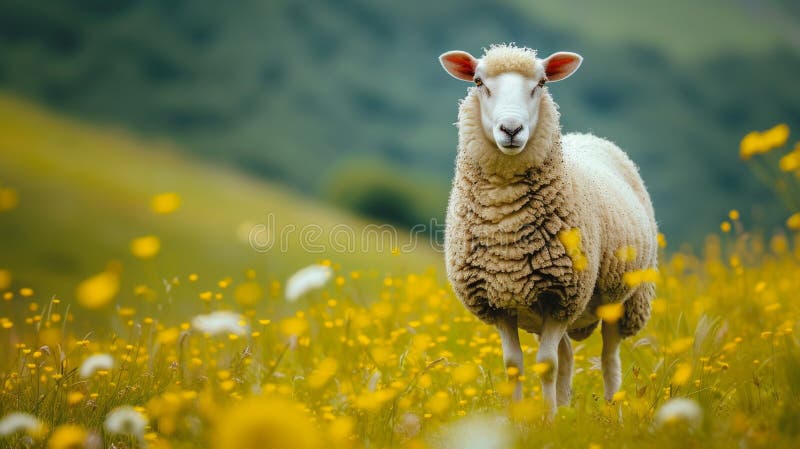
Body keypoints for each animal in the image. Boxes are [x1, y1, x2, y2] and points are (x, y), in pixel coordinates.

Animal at [438, 44, 658, 418]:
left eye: (541, 83)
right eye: (479, 82)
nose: (511, 129)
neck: (506, 224)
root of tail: (589, 136)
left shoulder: (562, 296)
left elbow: (547, 364)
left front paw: (547, 420)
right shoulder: (499, 302)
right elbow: (515, 365)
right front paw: (522, 419)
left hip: (622, 300)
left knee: (608, 359)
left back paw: (612, 411)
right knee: (568, 354)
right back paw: (566, 407)